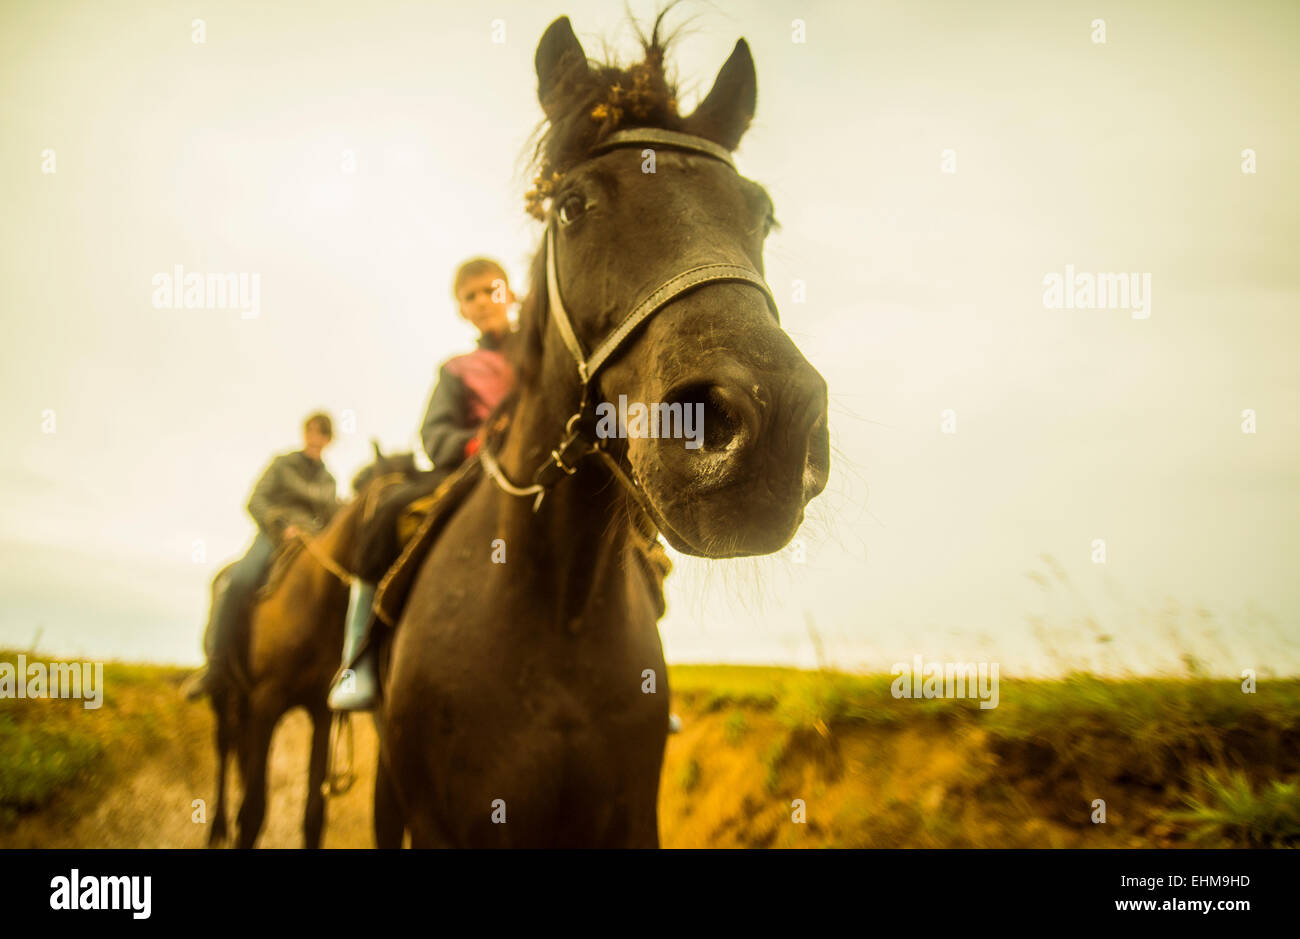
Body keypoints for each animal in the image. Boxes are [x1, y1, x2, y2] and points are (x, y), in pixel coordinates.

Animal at [206, 444, 418, 848]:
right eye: (407, 516)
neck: (314, 602)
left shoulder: (320, 710)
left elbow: (313, 813)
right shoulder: (267, 702)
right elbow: (254, 811)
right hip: (225, 694)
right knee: (225, 749)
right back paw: (217, 827)